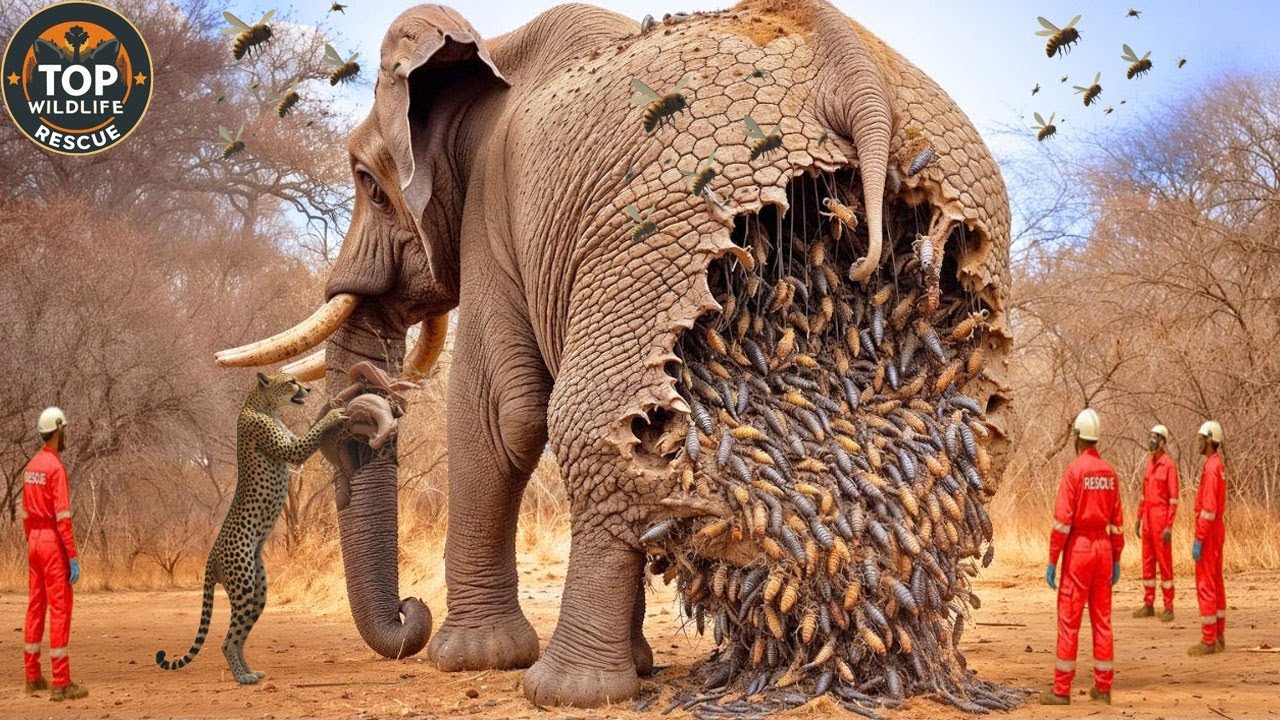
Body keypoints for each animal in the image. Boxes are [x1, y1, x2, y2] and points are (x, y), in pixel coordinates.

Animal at [156, 372, 345, 684]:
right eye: (291, 381)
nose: (307, 388)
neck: (261, 405)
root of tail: (212, 557)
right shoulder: (290, 449)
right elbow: (311, 435)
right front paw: (333, 413)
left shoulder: (292, 442)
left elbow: (308, 434)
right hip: (243, 584)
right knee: (227, 639)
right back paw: (242, 678)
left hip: (258, 589)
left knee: (239, 636)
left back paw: (249, 672)